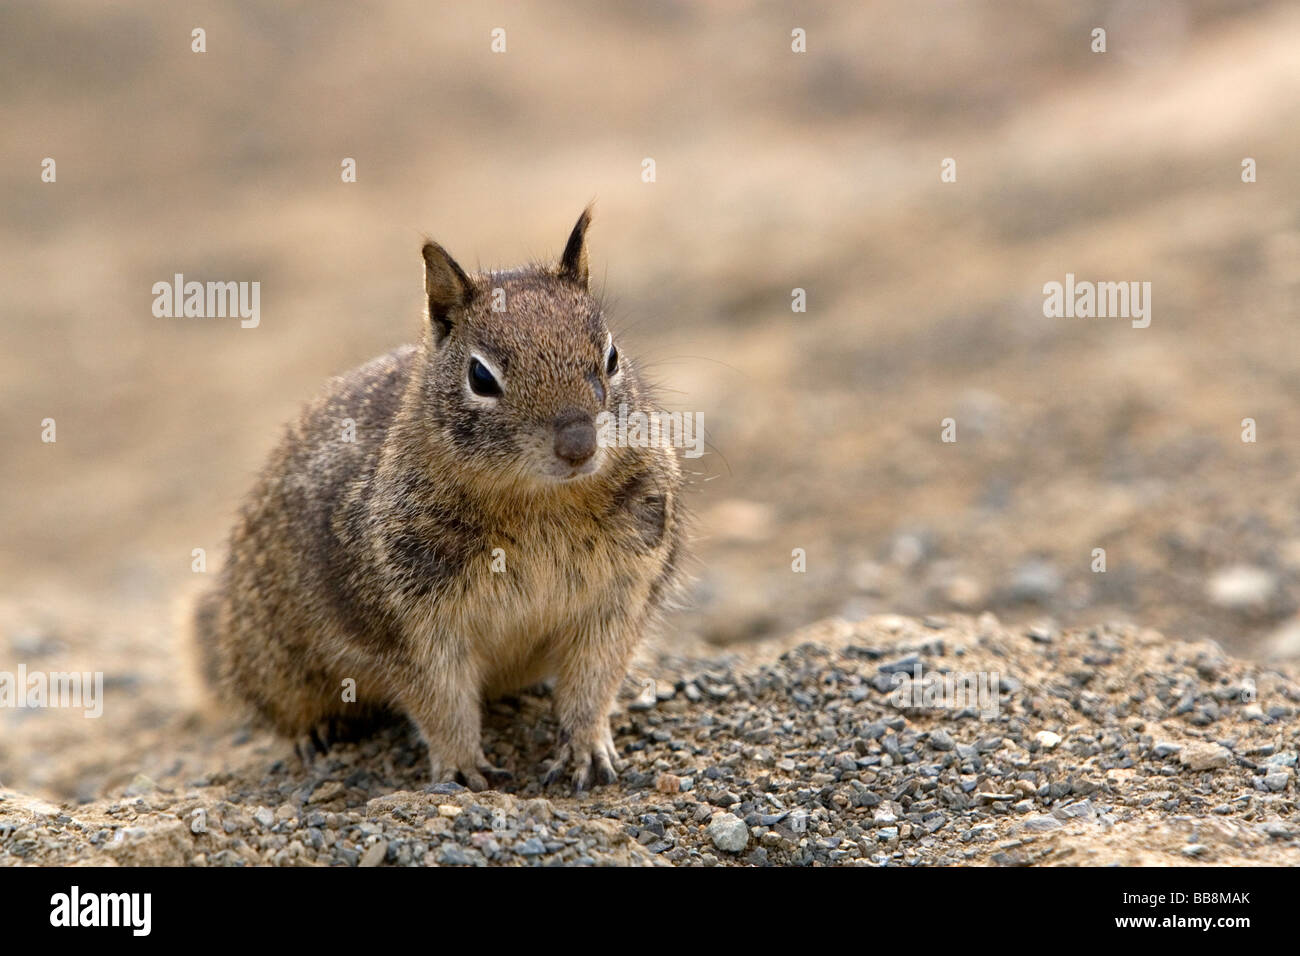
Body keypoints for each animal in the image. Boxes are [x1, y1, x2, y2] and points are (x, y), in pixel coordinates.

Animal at [194, 208, 685, 790]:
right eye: (480, 377)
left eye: (610, 356)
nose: (578, 445)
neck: (542, 502)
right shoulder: (411, 625)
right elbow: (440, 700)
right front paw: (461, 767)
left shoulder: (621, 594)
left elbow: (593, 681)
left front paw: (587, 748)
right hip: (274, 661)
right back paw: (315, 733)